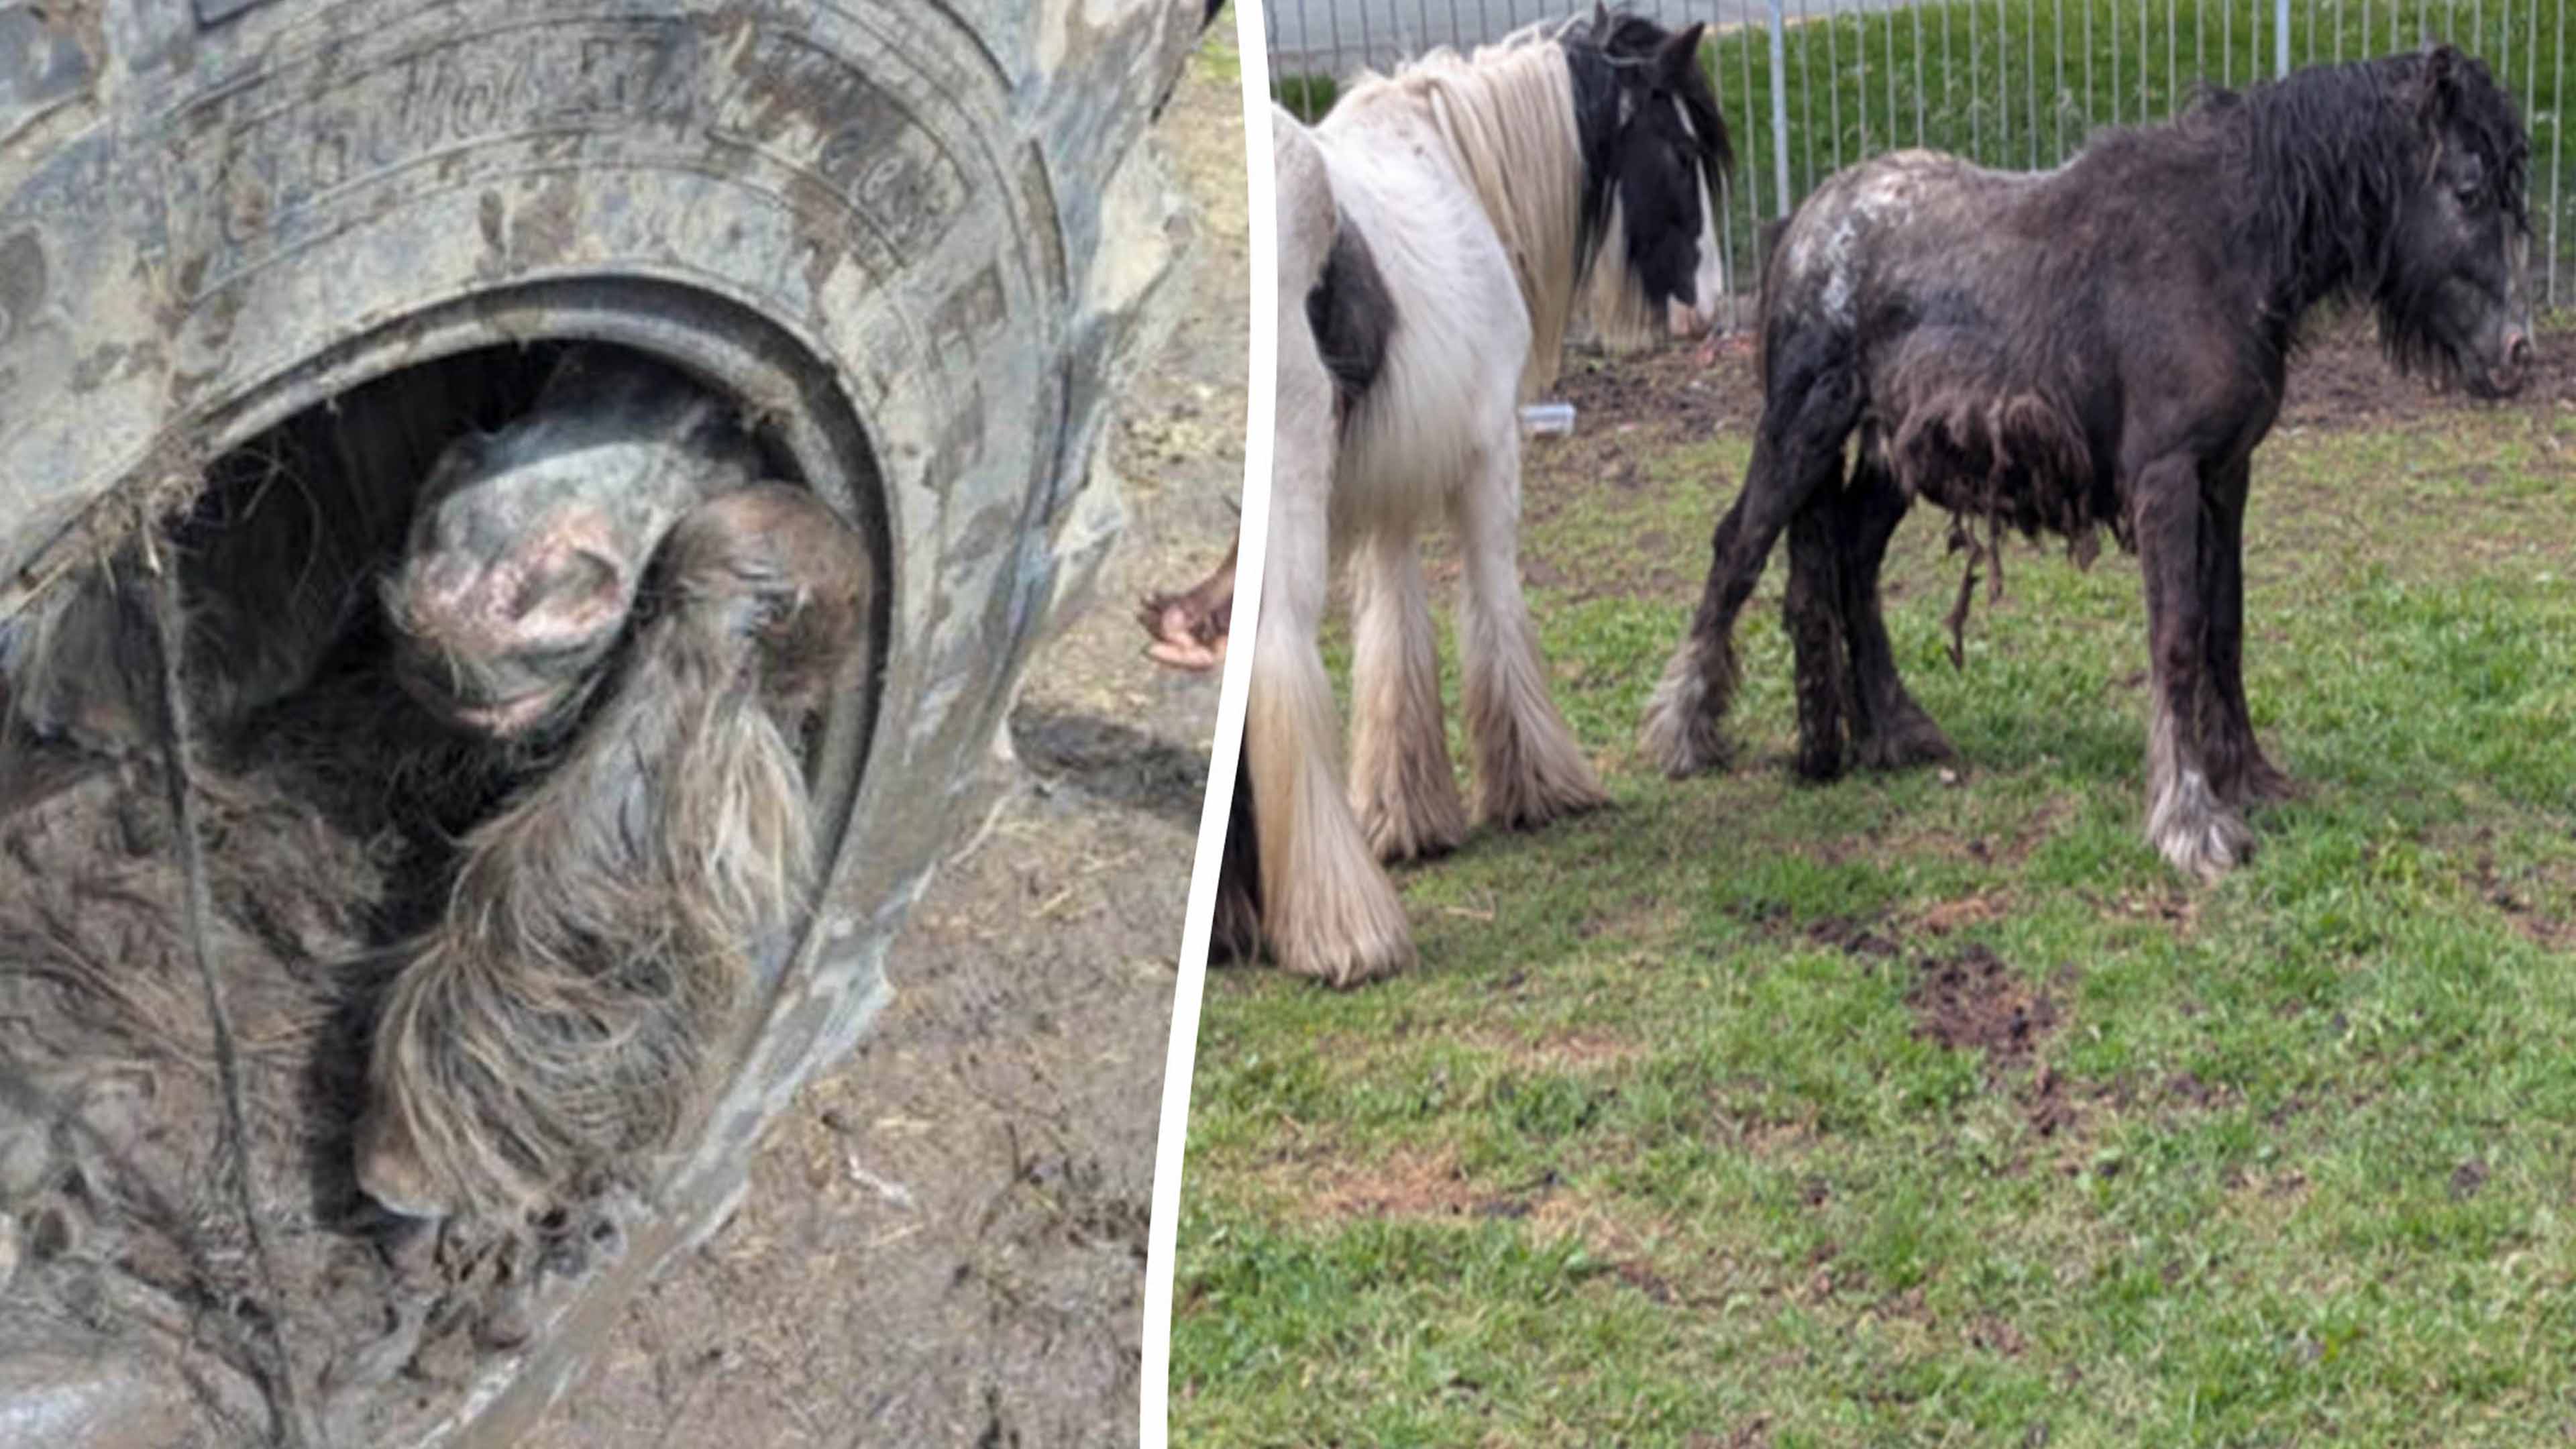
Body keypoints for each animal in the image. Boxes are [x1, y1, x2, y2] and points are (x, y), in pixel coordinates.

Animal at [1250, 4, 1735, 985]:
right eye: (1678, 150)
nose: (1708, 308)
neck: (1457, 169)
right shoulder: (1486, 459)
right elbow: (1494, 610)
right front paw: (1540, 785)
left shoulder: (1393, 491)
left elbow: (1396, 638)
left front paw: (1407, 817)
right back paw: (1340, 925)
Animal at [1638, 43, 2532, 883]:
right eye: (2468, 190)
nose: (2518, 354)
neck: (2227, 247)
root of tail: (1802, 225)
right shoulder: (2167, 476)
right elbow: (2177, 637)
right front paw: (2189, 820)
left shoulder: (2227, 475)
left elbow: (2226, 628)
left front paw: (2247, 777)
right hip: (1803, 428)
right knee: (1739, 550)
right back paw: (1684, 733)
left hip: (1892, 457)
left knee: (1851, 562)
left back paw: (1894, 730)